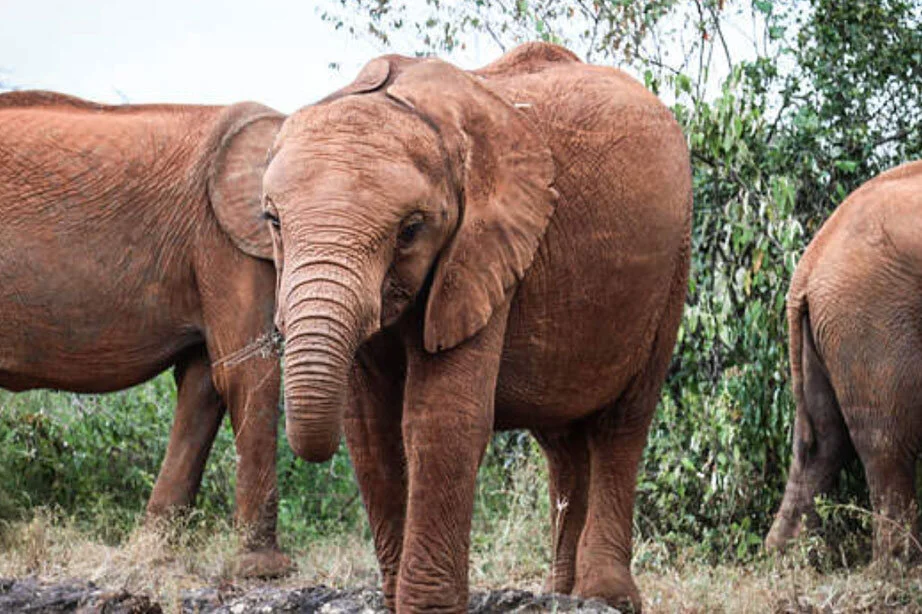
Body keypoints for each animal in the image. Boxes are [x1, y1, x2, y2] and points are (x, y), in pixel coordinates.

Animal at [263, 42, 692, 612]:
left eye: (410, 230)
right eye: (272, 222)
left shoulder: (485, 250)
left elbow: (442, 418)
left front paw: (428, 609)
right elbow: (370, 429)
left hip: (672, 267)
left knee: (623, 422)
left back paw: (606, 598)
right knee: (562, 442)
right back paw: (558, 592)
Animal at [766, 160, 922, 559]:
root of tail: (806, 268)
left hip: (834, 326)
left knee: (821, 442)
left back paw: (784, 557)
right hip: (871, 319)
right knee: (887, 443)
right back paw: (899, 563)